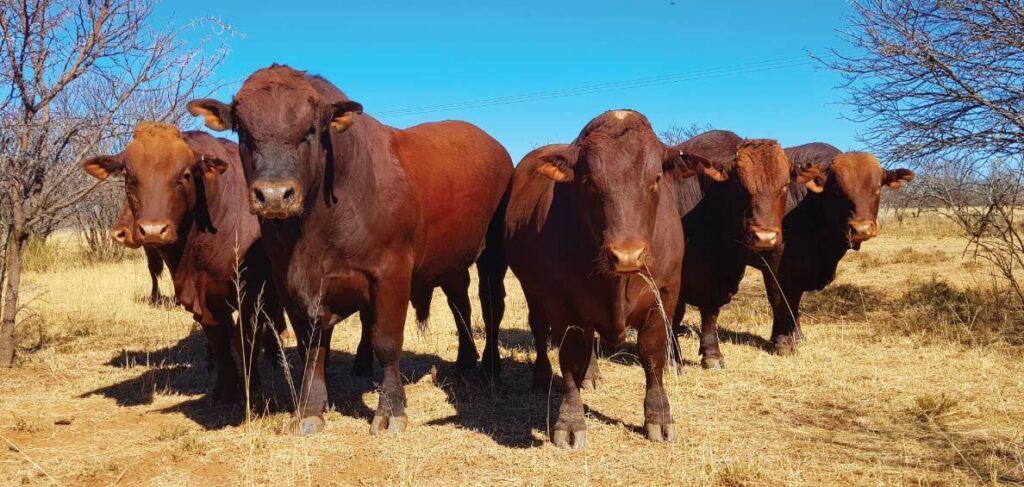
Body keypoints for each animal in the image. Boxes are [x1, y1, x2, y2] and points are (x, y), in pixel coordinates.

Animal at [83, 123, 286, 403]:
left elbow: (245, 339)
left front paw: (251, 391)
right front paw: (224, 388)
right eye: (129, 177)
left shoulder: (251, 290)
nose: (153, 230)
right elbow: (219, 338)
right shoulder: (201, 296)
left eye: (185, 174)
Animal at [185, 64, 513, 437]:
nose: (273, 195)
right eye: (242, 131)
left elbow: (386, 341)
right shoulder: (289, 282)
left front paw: (390, 412)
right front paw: (309, 410)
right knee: (461, 305)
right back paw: (465, 362)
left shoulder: (390, 273)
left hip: (492, 255)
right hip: (450, 262)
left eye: (311, 130)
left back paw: (489, 366)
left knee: (491, 305)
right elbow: (310, 347)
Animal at [505, 110, 726, 449]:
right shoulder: (561, 302)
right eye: (588, 180)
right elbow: (569, 358)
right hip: (532, 290)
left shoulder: (665, 296)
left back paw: (592, 375)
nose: (627, 256)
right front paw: (570, 422)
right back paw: (542, 377)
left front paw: (659, 417)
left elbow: (652, 355)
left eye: (656, 178)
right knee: (541, 331)